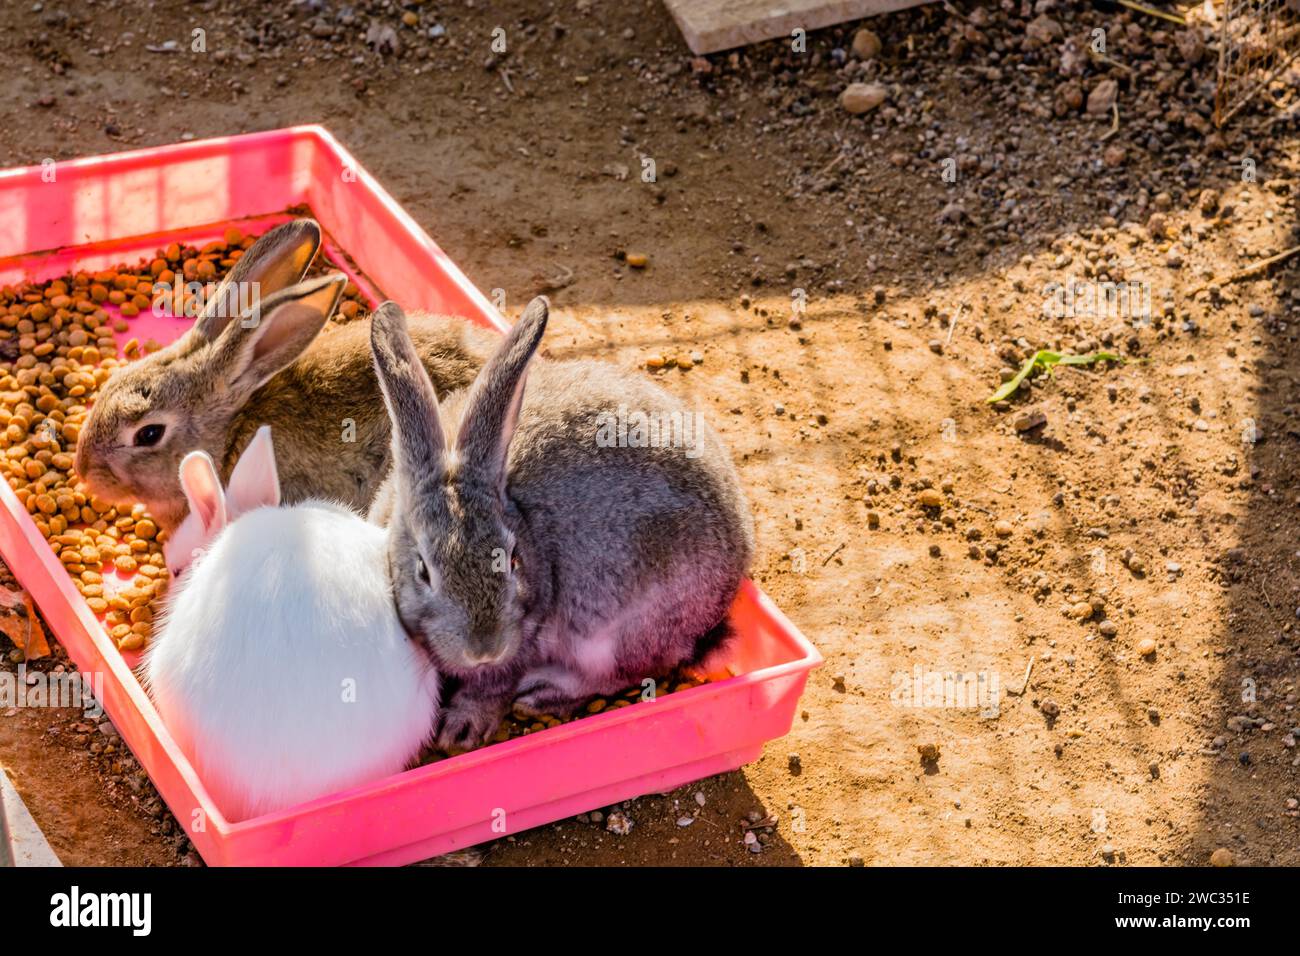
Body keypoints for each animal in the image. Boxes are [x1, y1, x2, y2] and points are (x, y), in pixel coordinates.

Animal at [366, 296, 754, 752]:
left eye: (513, 559)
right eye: (423, 571)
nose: (485, 648)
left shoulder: (529, 629)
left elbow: (496, 685)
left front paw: (461, 728)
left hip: (621, 628)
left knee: (629, 672)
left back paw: (542, 692)